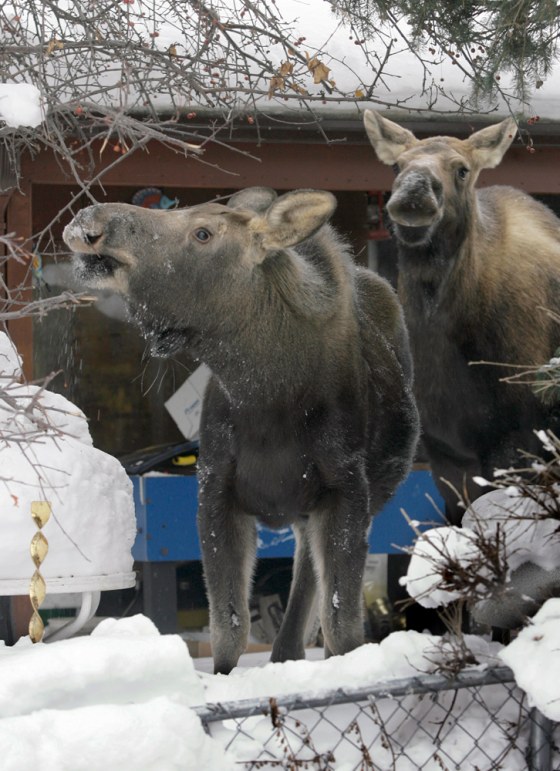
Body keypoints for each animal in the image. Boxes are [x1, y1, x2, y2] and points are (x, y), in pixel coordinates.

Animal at [64, 186, 419, 673]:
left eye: (203, 232)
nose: (90, 218)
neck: (266, 393)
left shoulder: (347, 491)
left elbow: (342, 622)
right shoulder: (216, 491)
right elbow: (228, 627)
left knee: (311, 583)